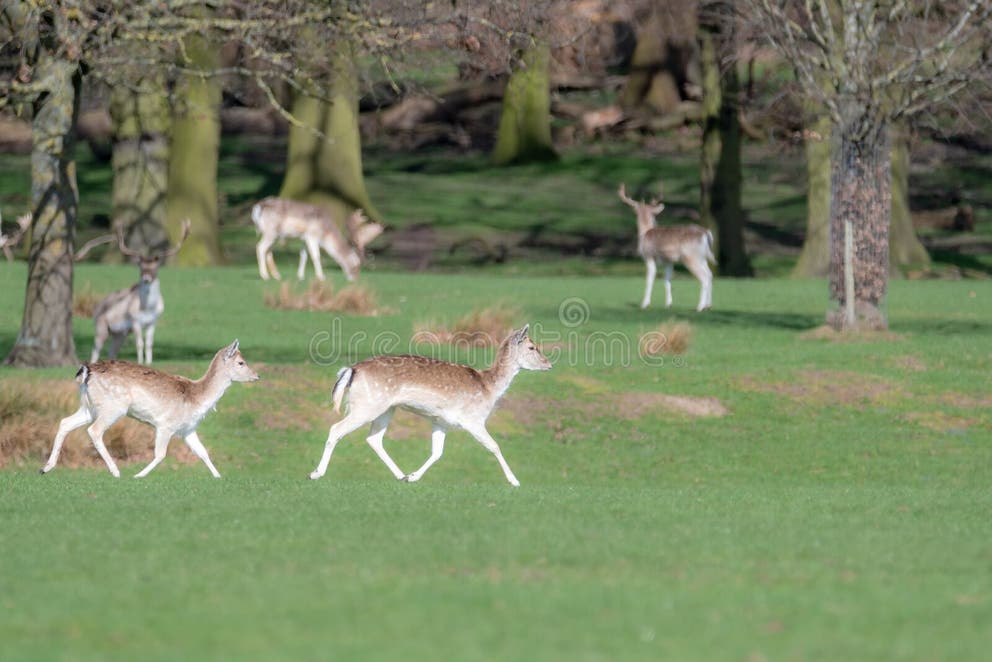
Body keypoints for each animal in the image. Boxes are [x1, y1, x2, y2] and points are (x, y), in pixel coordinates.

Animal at [41, 340, 259, 478]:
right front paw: (138, 475)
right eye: (241, 362)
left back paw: (46, 468)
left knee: (65, 422)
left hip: (89, 407)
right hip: (113, 407)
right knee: (94, 431)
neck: (197, 398)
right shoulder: (165, 425)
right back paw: (116, 471)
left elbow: (203, 452)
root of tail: (87, 371)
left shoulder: (187, 429)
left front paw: (218, 476)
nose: (257, 376)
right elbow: (161, 454)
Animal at [90, 220, 189, 365]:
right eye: (141, 267)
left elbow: (149, 343)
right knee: (95, 350)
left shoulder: (153, 321)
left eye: (155, 268)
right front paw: (140, 362)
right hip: (101, 326)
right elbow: (139, 343)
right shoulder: (135, 321)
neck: (147, 308)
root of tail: (97, 306)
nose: (146, 279)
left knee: (111, 351)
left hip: (120, 334)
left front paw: (149, 362)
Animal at [251, 197, 383, 282]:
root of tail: (258, 207)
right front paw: (321, 277)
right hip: (271, 231)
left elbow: (303, 256)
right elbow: (316, 256)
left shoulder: (304, 238)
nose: (354, 279)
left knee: (268, 251)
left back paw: (276, 276)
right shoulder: (312, 236)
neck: (326, 233)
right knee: (260, 247)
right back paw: (264, 276)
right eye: (356, 265)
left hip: (274, 234)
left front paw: (300, 277)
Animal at [308, 324, 551, 487]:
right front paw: (515, 481)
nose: (549, 363)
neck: (488, 388)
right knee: (336, 429)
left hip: (386, 409)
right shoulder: (473, 419)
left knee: (374, 439)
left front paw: (414, 476)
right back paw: (316, 473)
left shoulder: (440, 421)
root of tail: (351, 370)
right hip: (367, 405)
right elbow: (494, 446)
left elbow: (437, 452)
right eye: (532, 347)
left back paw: (401, 475)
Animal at [619, 183, 715, 311]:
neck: (644, 233)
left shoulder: (649, 256)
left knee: (704, 277)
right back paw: (708, 306)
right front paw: (668, 304)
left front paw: (644, 304)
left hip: (690, 257)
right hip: (702, 257)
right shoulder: (669, 261)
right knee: (710, 274)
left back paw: (699, 307)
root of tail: (706, 233)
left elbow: (650, 279)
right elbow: (667, 280)